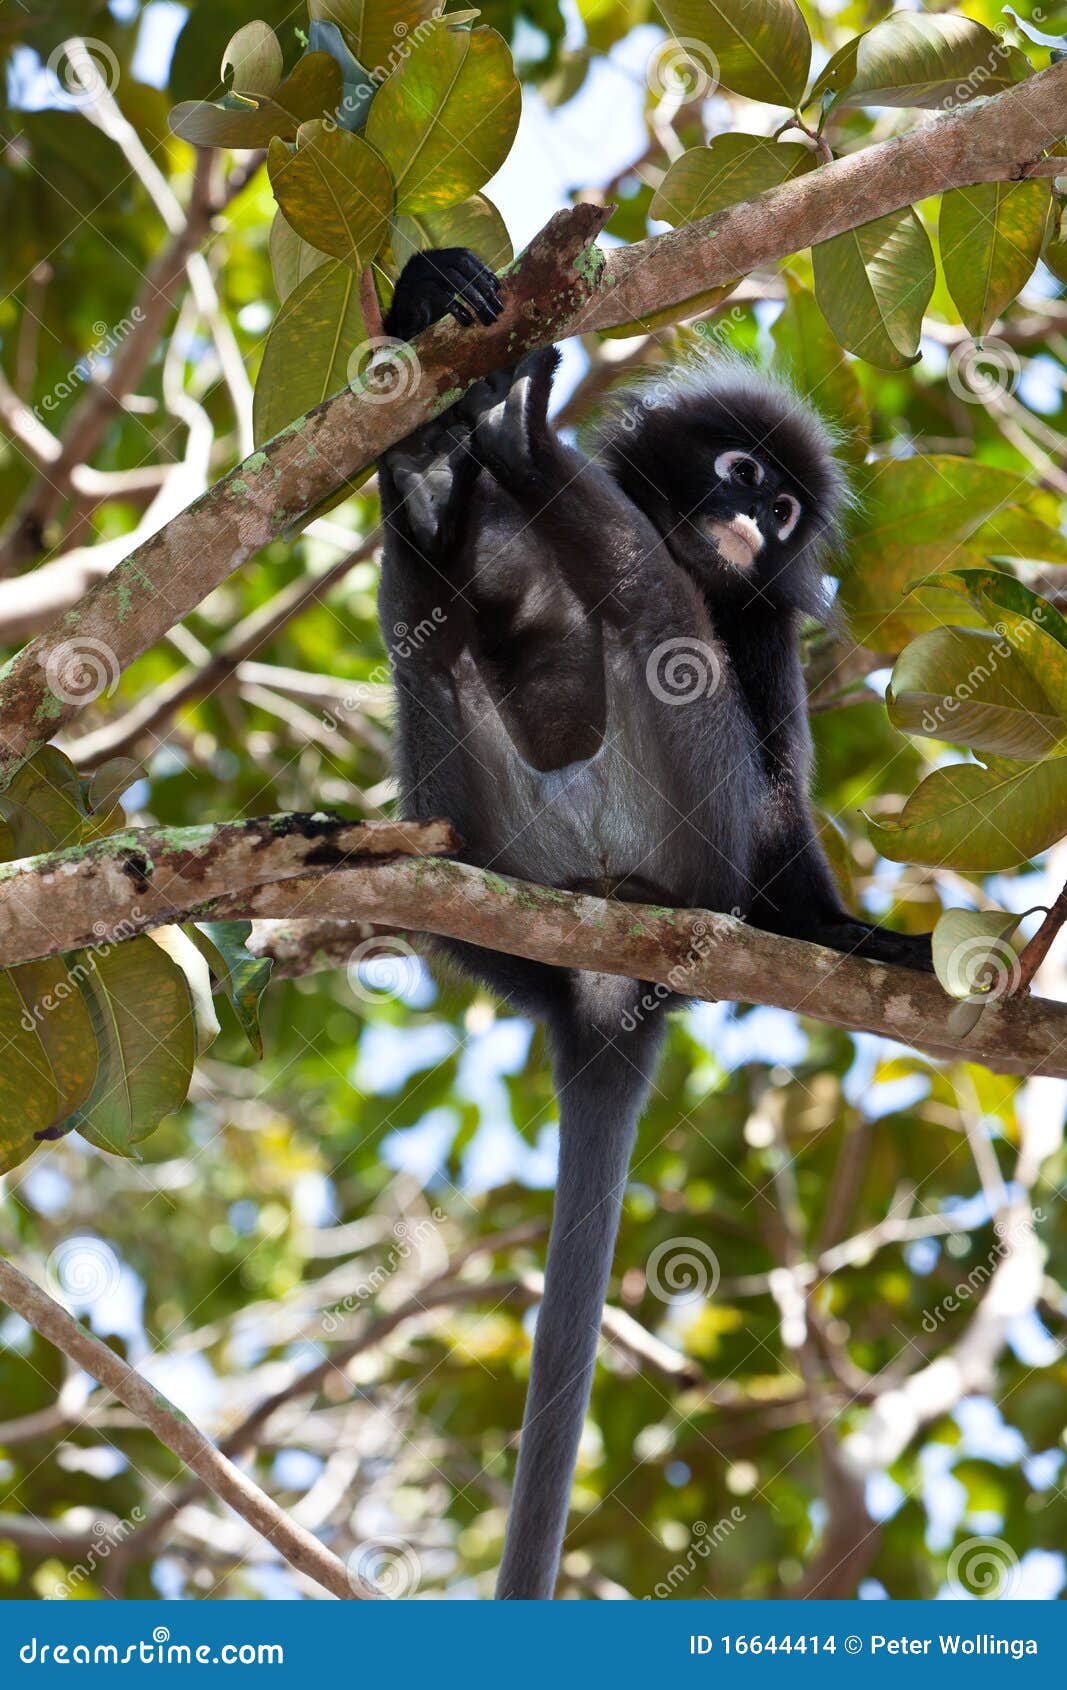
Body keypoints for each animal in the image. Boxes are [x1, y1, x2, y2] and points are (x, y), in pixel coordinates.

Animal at [375, 247, 931, 1600]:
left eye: (783, 513)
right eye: (737, 475)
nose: (750, 521)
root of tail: (602, 981)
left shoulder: (763, 643)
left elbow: (780, 793)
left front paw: (851, 937)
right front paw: (428, 296)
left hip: (688, 835)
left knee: (654, 616)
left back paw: (528, 456)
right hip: (472, 828)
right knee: (444, 622)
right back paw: (439, 481)